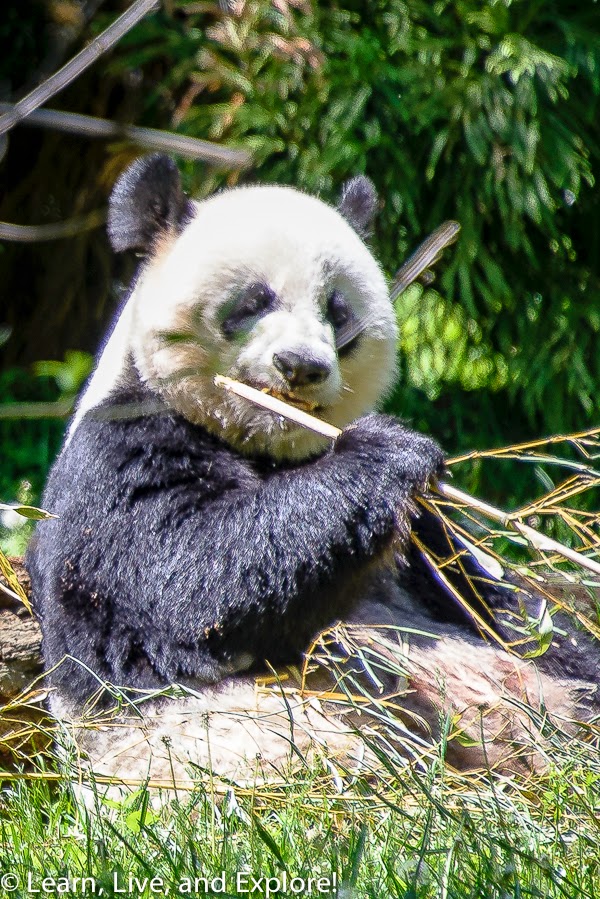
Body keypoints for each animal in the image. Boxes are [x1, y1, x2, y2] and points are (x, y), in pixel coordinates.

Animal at [27, 154, 598, 784]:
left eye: (337, 311)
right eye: (253, 302)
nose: (300, 365)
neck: (267, 445)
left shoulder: (424, 536)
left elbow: (496, 601)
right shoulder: (124, 452)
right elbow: (195, 580)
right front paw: (387, 451)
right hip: (265, 742)